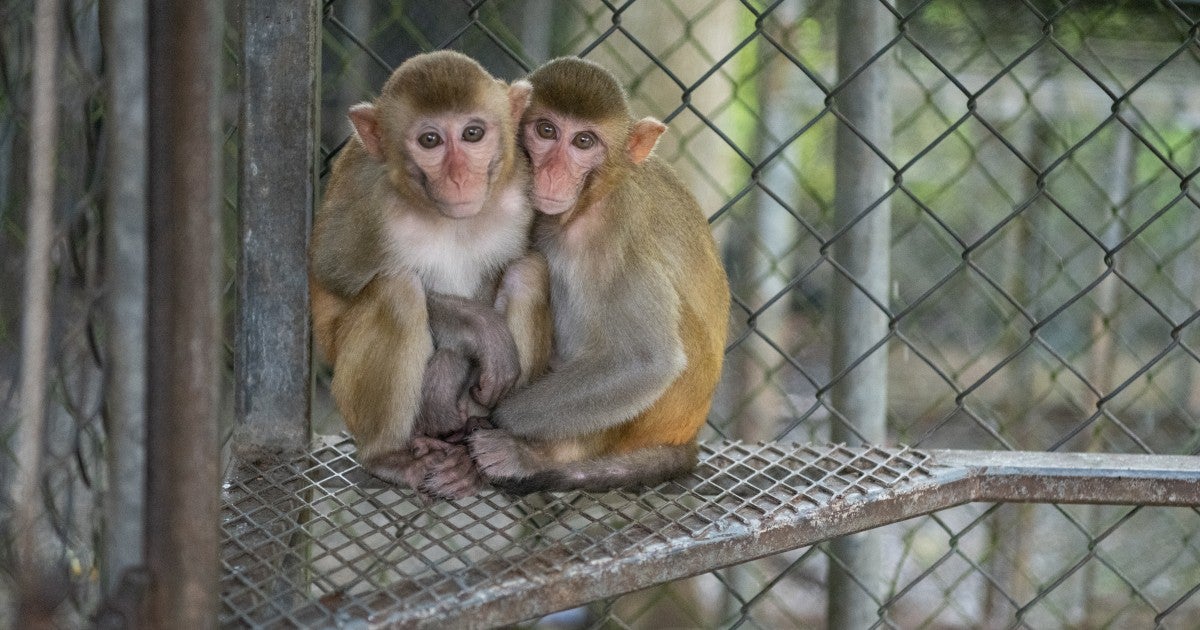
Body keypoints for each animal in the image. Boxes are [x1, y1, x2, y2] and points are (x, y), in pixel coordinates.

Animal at [309, 50, 551, 500]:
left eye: (473, 133)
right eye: (430, 141)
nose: (459, 177)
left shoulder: (523, 185)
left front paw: (449, 371)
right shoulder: (365, 202)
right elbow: (332, 278)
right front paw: (478, 333)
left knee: (529, 272)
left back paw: (474, 456)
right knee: (397, 293)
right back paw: (388, 456)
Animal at [469, 57, 730, 493]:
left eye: (584, 142)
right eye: (546, 131)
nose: (553, 172)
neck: (589, 200)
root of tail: (685, 435)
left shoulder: (615, 239)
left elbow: (647, 363)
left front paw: (500, 419)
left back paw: (532, 456)